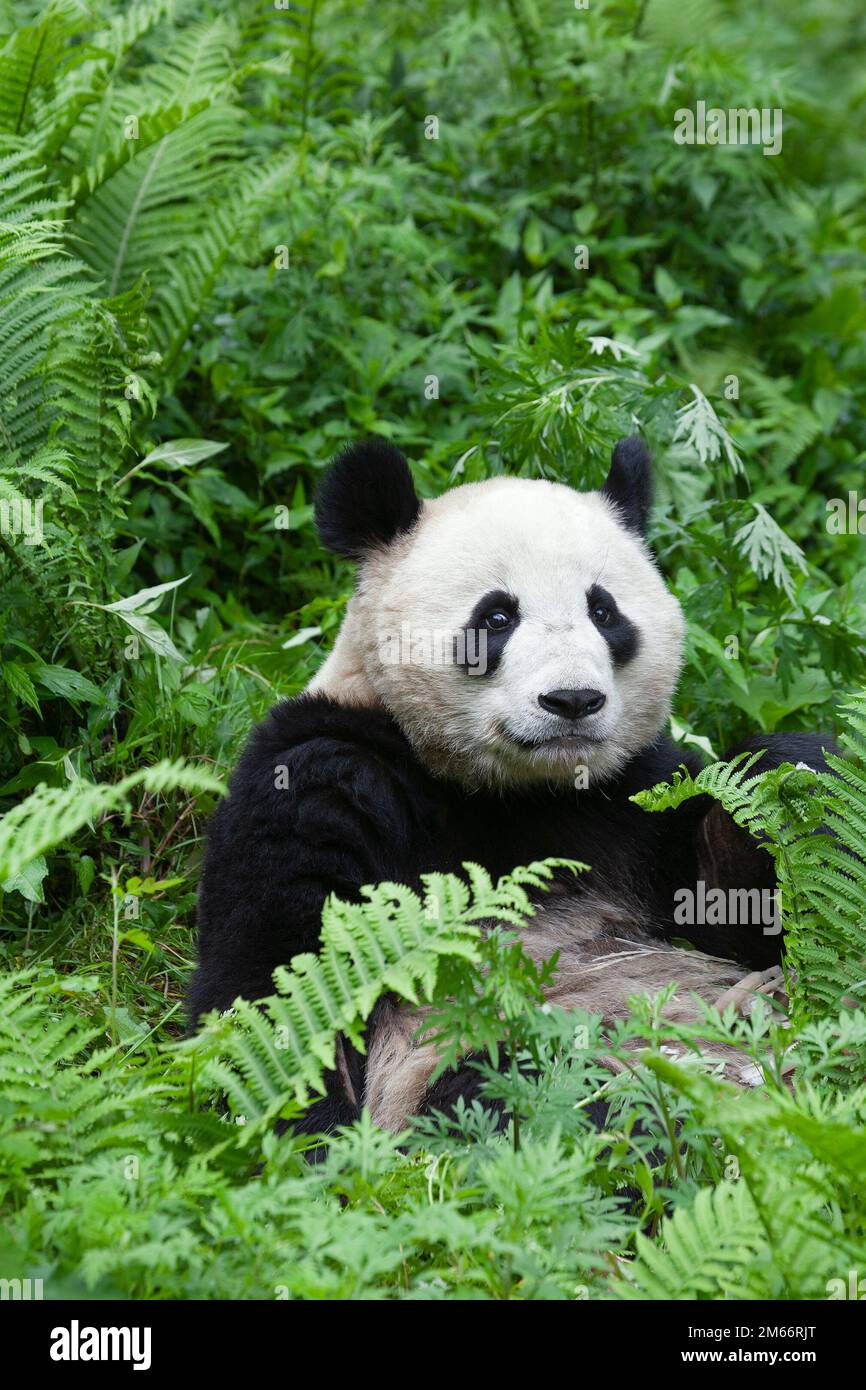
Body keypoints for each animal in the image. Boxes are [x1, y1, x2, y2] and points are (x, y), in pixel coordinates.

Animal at [189, 436, 830, 1134]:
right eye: (497, 616)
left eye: (603, 611)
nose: (572, 700)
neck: (514, 788)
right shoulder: (325, 773)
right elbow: (277, 978)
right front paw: (312, 1130)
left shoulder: (630, 797)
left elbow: (732, 916)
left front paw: (789, 781)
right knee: (528, 1094)